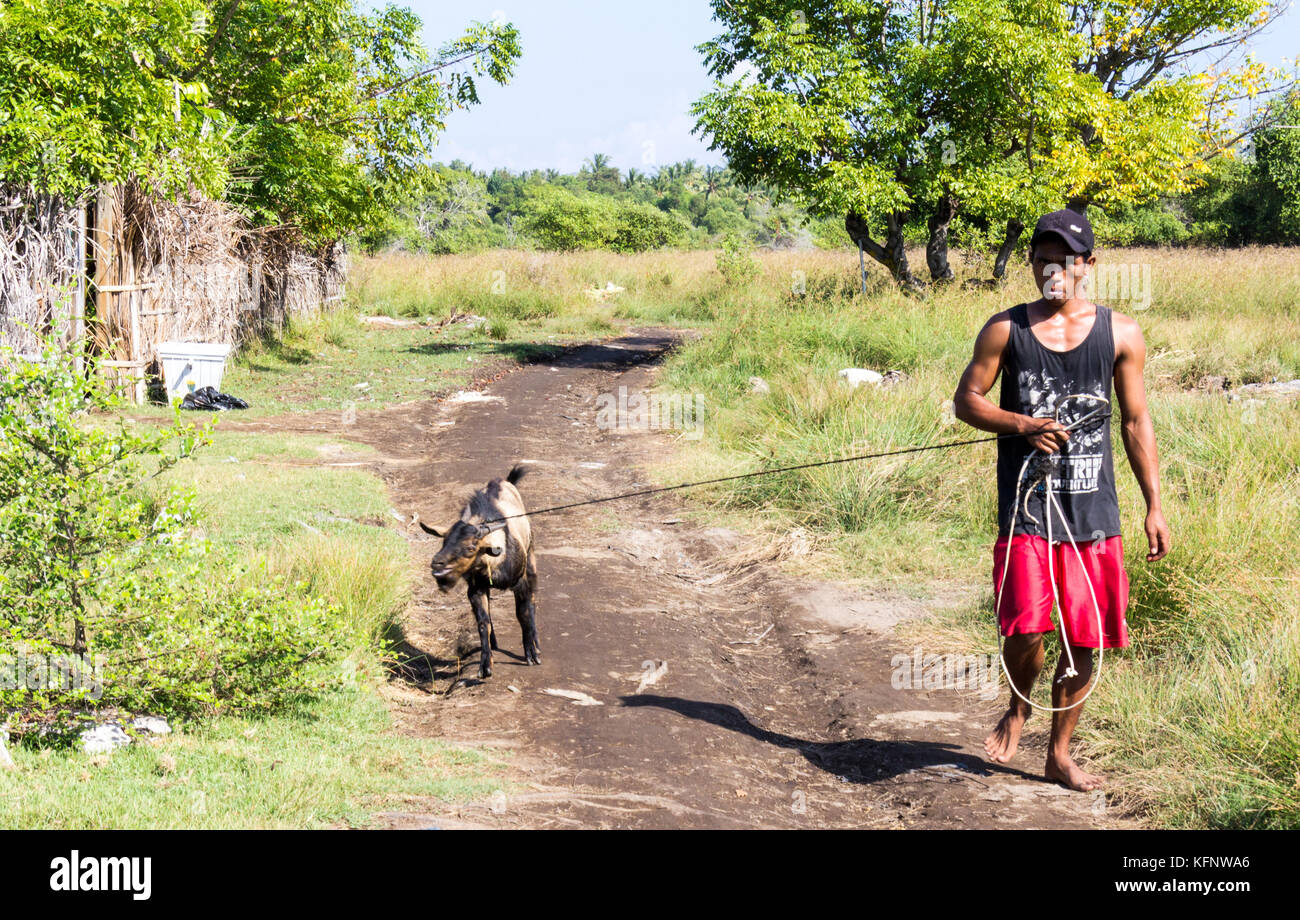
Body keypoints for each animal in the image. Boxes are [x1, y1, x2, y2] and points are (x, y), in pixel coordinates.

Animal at [420, 464, 538, 679]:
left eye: (470, 548)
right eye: (444, 542)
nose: (437, 564)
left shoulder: (519, 582)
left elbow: (523, 613)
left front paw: (531, 654)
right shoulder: (476, 588)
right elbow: (483, 622)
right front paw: (485, 665)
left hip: (531, 557)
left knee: (532, 599)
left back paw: (536, 642)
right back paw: (494, 643)